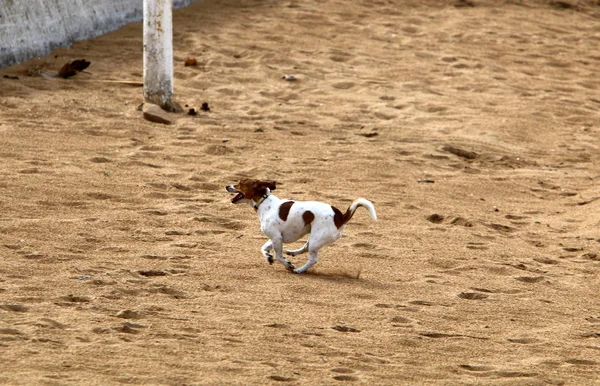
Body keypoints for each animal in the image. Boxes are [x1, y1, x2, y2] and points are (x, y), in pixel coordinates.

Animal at [225, 179, 376, 272]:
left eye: (240, 183)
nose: (227, 185)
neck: (264, 202)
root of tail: (340, 216)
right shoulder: (275, 238)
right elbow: (264, 248)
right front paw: (268, 257)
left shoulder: (276, 238)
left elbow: (279, 256)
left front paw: (288, 265)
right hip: (314, 237)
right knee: (305, 247)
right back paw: (292, 252)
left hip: (316, 239)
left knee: (313, 258)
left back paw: (299, 270)